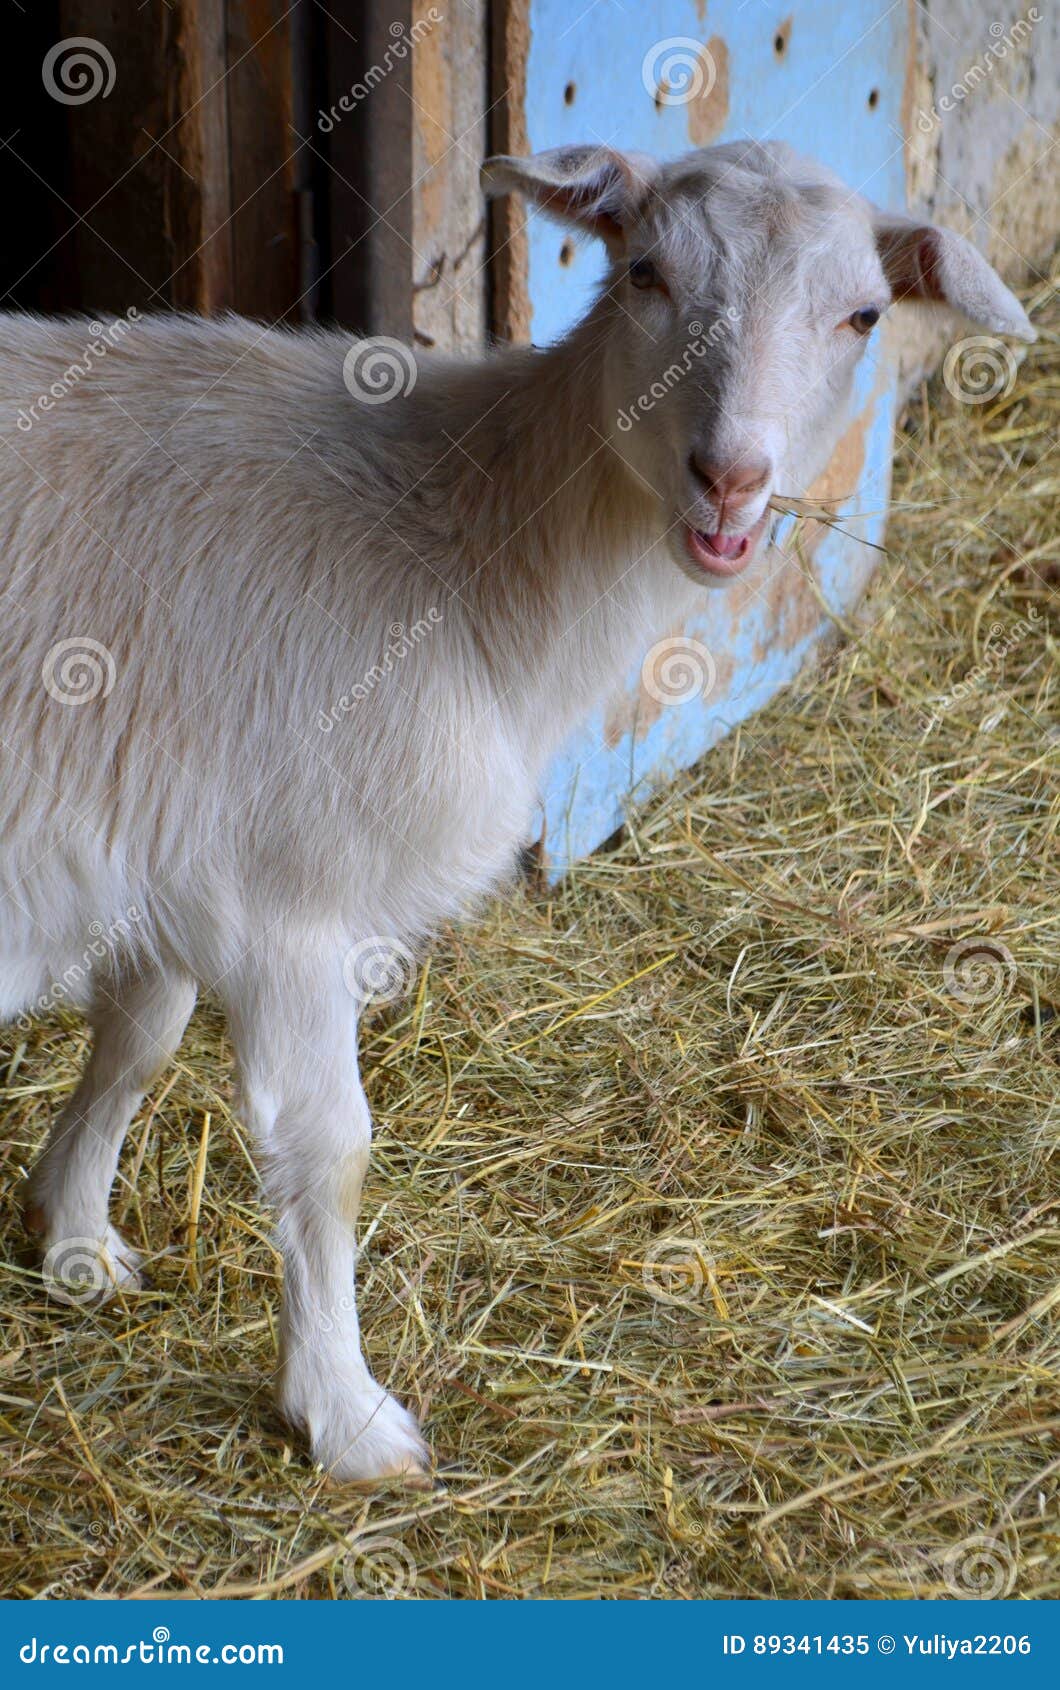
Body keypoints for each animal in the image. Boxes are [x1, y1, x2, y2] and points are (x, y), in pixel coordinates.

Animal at [0, 142, 1032, 1480]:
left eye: (863, 315)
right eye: (644, 272)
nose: (730, 479)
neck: (461, 524)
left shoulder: (182, 850)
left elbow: (138, 1039)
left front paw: (73, 1235)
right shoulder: (290, 897)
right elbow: (327, 1150)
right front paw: (347, 1416)